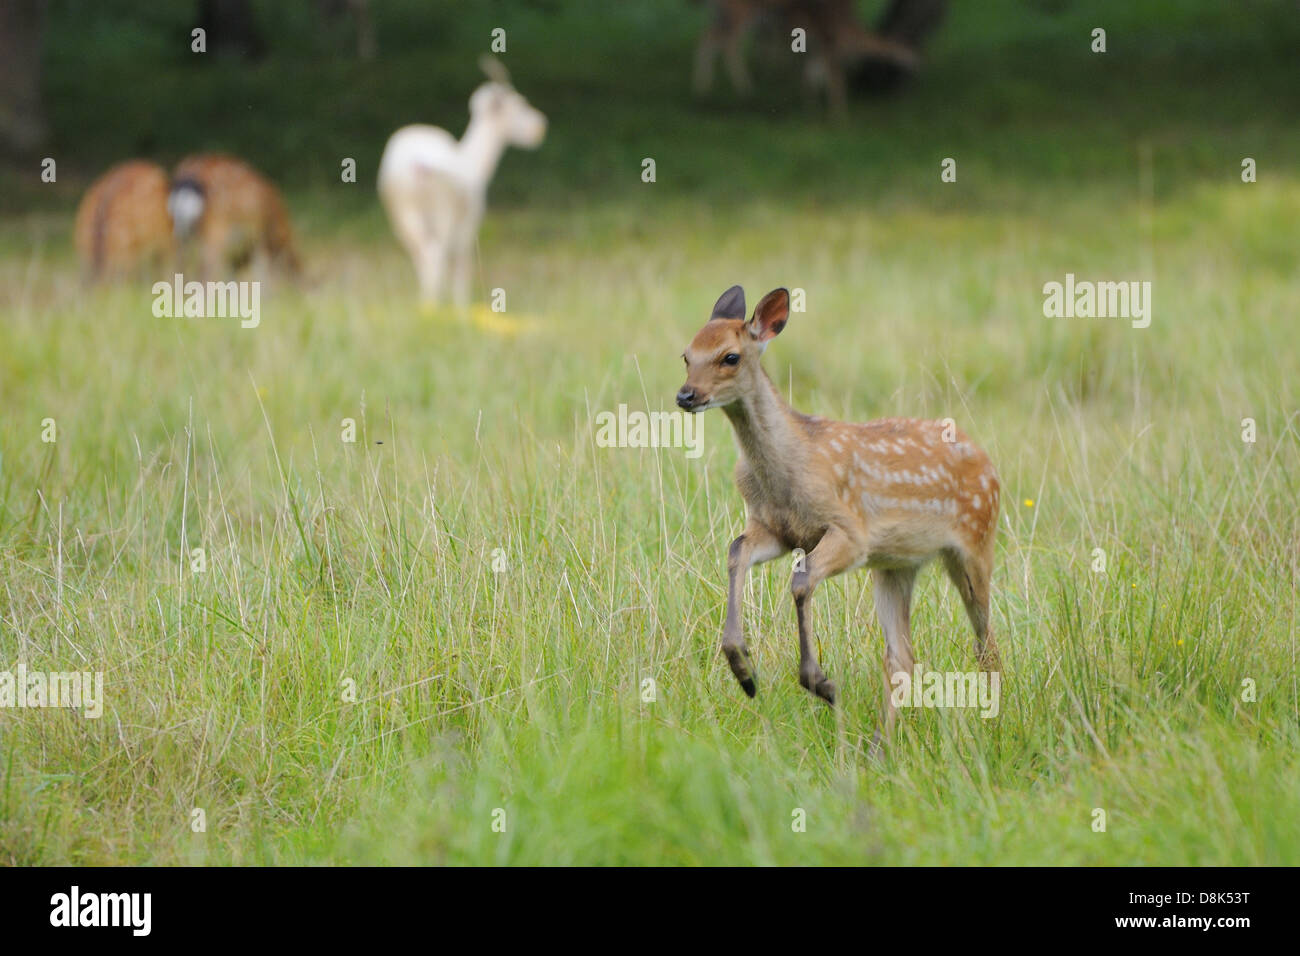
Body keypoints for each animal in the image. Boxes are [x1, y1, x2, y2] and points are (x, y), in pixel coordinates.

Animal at [377, 57, 547, 307]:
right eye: (519, 104)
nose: (540, 127)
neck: (472, 159)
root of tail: (417, 165)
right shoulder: (469, 226)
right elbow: (462, 273)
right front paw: (460, 309)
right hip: (443, 215)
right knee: (437, 256)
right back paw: (432, 307)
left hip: (404, 215)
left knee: (425, 257)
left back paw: (425, 305)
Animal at [677, 285, 1001, 739]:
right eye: (686, 355)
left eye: (730, 357)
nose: (686, 395)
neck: (785, 472)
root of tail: (989, 463)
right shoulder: (774, 529)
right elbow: (736, 551)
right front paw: (744, 670)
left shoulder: (851, 532)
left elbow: (800, 581)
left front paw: (820, 683)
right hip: (896, 564)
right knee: (901, 655)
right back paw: (882, 743)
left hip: (975, 540)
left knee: (986, 643)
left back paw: (994, 724)